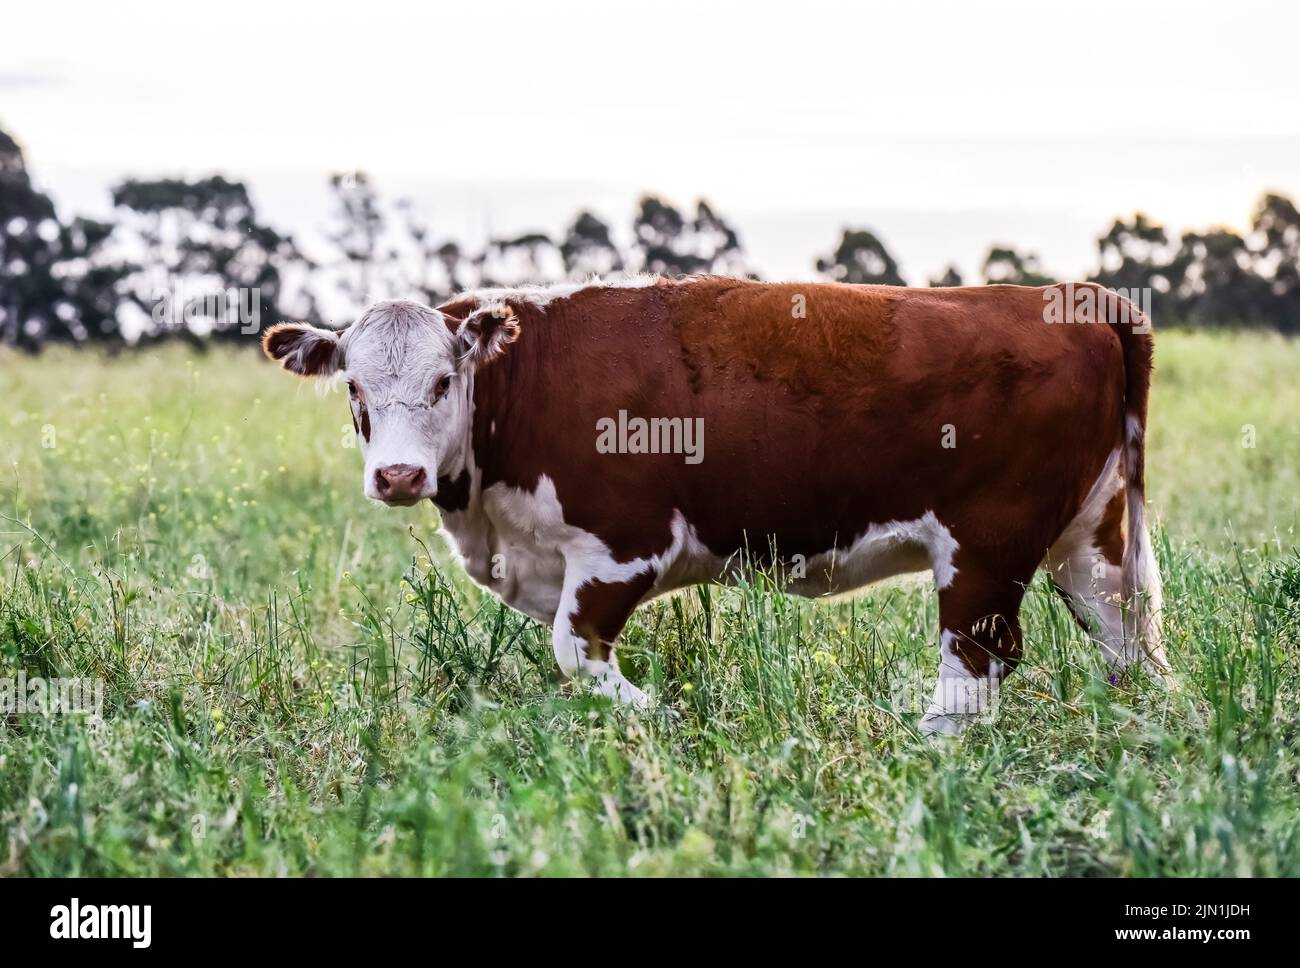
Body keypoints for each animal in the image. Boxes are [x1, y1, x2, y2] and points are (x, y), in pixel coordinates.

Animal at [262, 276, 1166, 735]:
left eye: (443, 381)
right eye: (355, 388)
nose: (398, 476)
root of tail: (1072, 296)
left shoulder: (623, 543)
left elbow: (574, 652)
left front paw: (664, 717)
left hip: (985, 544)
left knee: (977, 665)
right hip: (1092, 539)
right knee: (1132, 643)